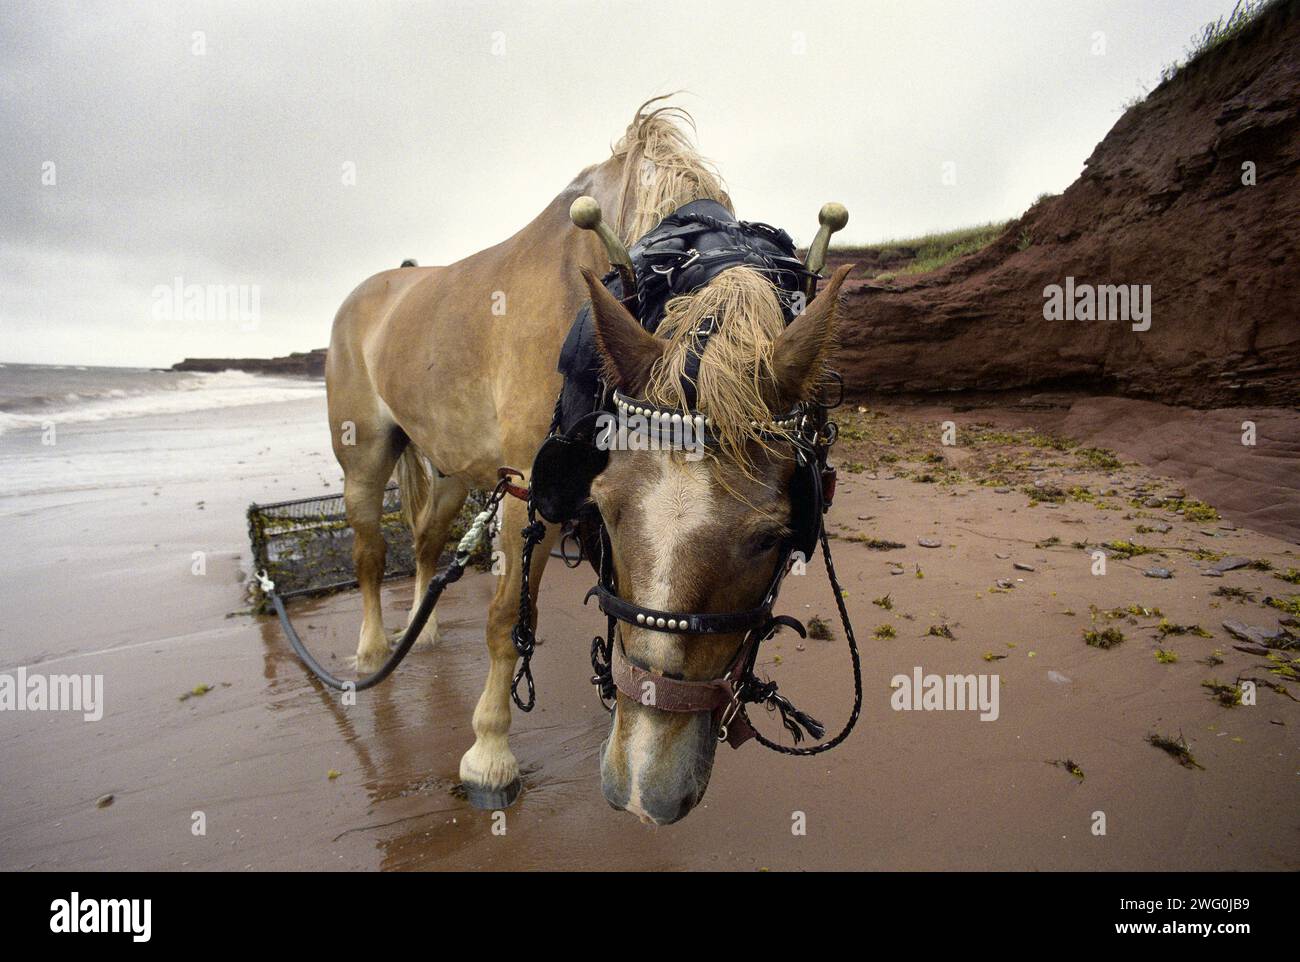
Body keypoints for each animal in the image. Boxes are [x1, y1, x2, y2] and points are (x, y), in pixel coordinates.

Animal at [325, 99, 852, 824]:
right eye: (603, 512)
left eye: (774, 535)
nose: (644, 790)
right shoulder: (529, 487)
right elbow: (505, 622)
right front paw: (489, 754)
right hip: (363, 457)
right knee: (371, 550)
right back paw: (375, 649)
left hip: (452, 464)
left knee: (428, 538)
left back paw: (421, 632)